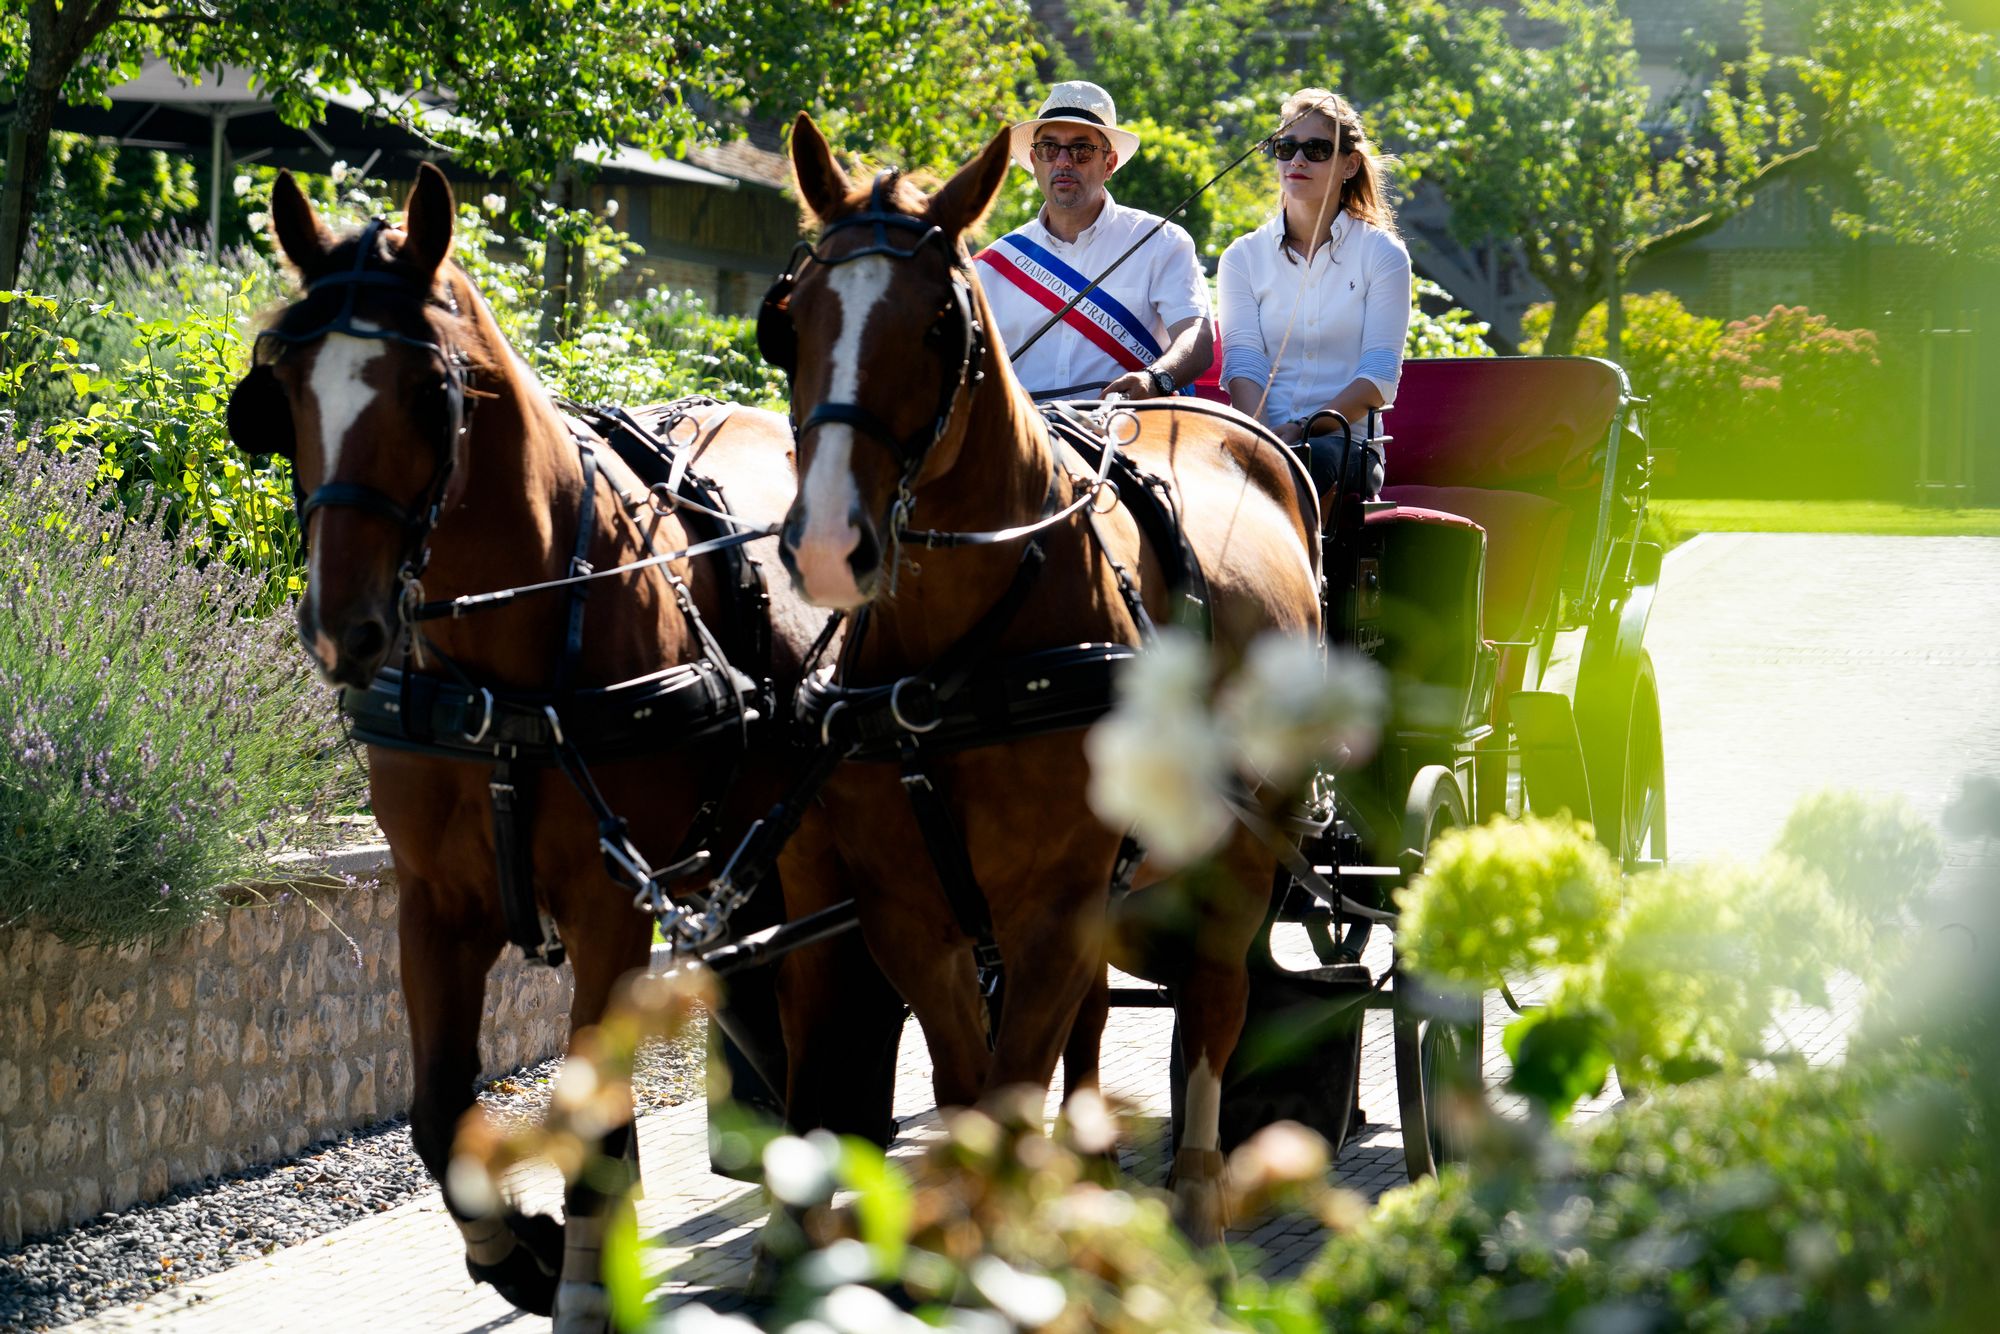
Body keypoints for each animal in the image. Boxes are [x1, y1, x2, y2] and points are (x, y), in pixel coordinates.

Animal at [228, 163, 902, 1330]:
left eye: (433, 393)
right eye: (287, 389)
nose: (342, 626)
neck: (508, 675)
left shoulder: (609, 903)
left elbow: (593, 1122)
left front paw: (580, 1277)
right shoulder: (433, 901)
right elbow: (436, 1111)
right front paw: (522, 1256)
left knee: (835, 999)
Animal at [764, 115, 1322, 1244]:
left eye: (942, 323)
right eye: (791, 320)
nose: (831, 542)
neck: (950, 673)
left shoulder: (1051, 902)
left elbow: (1011, 1087)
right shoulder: (910, 912)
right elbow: (970, 1087)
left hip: (1246, 847)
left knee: (1214, 998)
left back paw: (1198, 1194)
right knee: (1100, 1012)